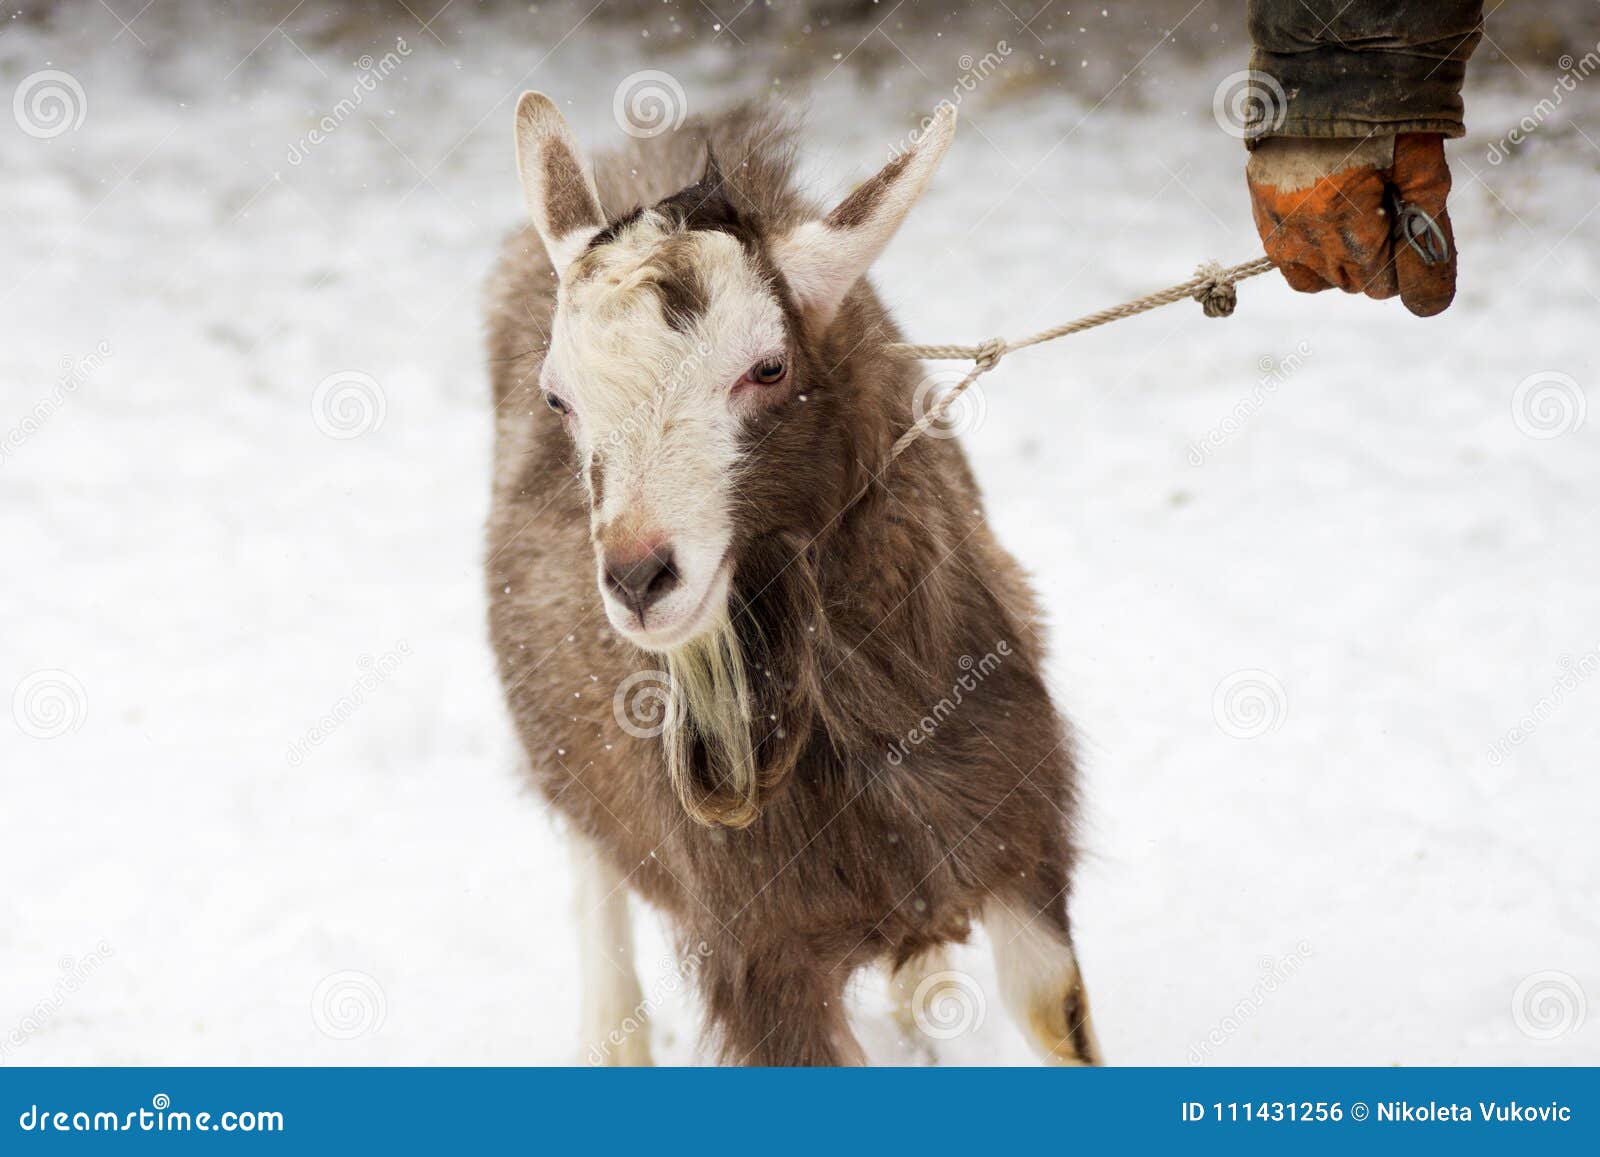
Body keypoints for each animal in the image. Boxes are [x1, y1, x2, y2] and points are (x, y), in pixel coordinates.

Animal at [484, 92, 1100, 1067]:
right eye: (558, 396)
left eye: (767, 367)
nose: (639, 576)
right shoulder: (762, 956)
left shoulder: (1026, 853)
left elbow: (1051, 1018)